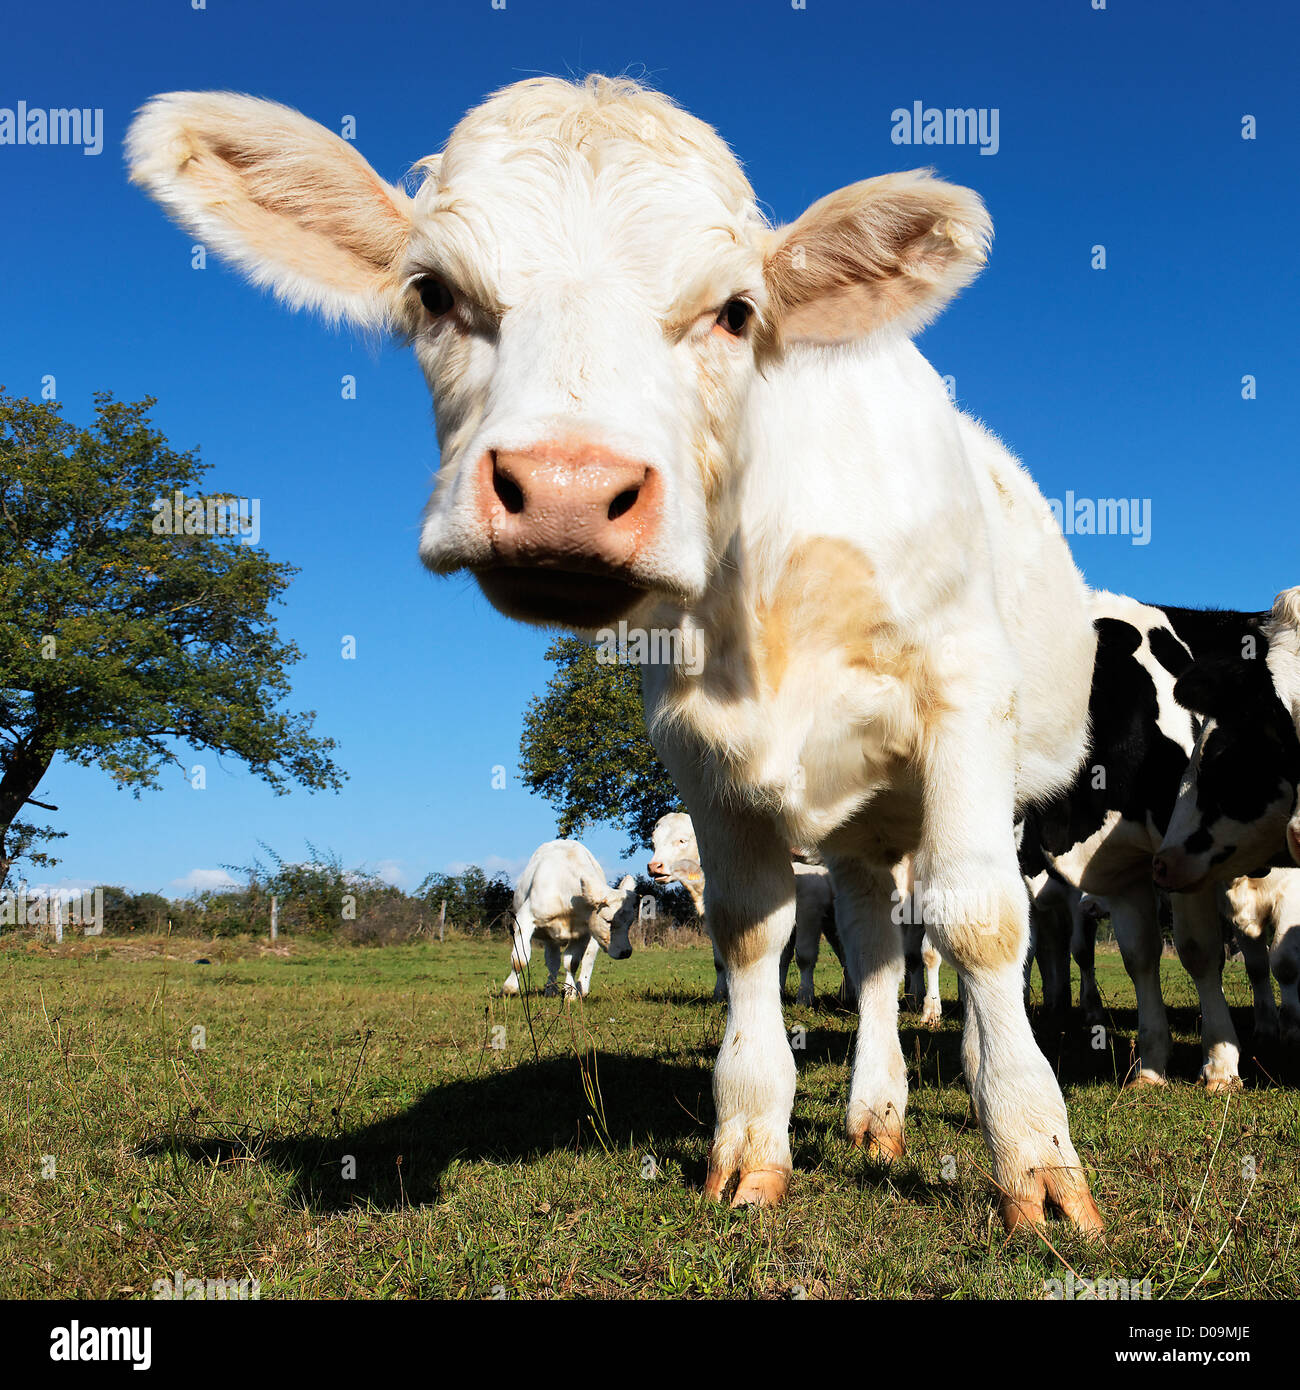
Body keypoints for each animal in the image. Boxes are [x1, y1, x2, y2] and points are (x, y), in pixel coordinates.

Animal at [502, 840, 636, 998]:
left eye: (630, 923)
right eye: (608, 920)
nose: (626, 952)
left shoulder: (583, 933)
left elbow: (572, 963)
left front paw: (570, 994)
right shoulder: (525, 919)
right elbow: (519, 959)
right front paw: (509, 988)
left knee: (588, 959)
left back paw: (581, 988)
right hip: (550, 937)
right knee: (552, 961)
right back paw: (551, 990)